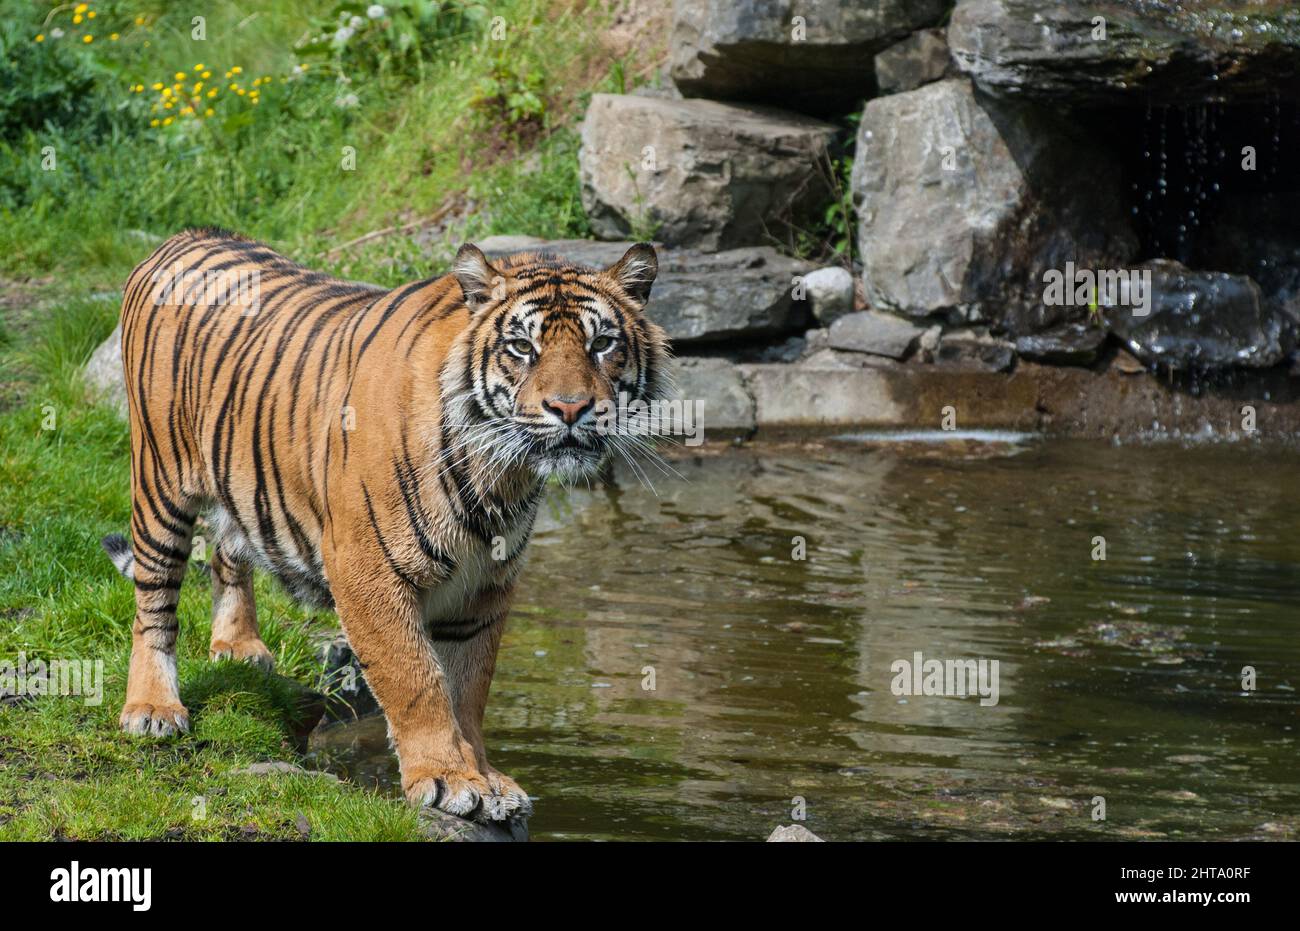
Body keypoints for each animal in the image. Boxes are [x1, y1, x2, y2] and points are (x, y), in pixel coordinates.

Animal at [100, 227, 669, 822]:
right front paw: (447, 779)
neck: (497, 473)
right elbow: (416, 678)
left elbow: (469, 689)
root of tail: (187, 235)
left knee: (228, 547)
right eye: (521, 348)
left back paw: (240, 646)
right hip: (160, 481)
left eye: (601, 344)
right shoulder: (366, 568)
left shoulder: (485, 586)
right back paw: (153, 709)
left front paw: (487, 778)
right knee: (154, 603)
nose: (571, 408)